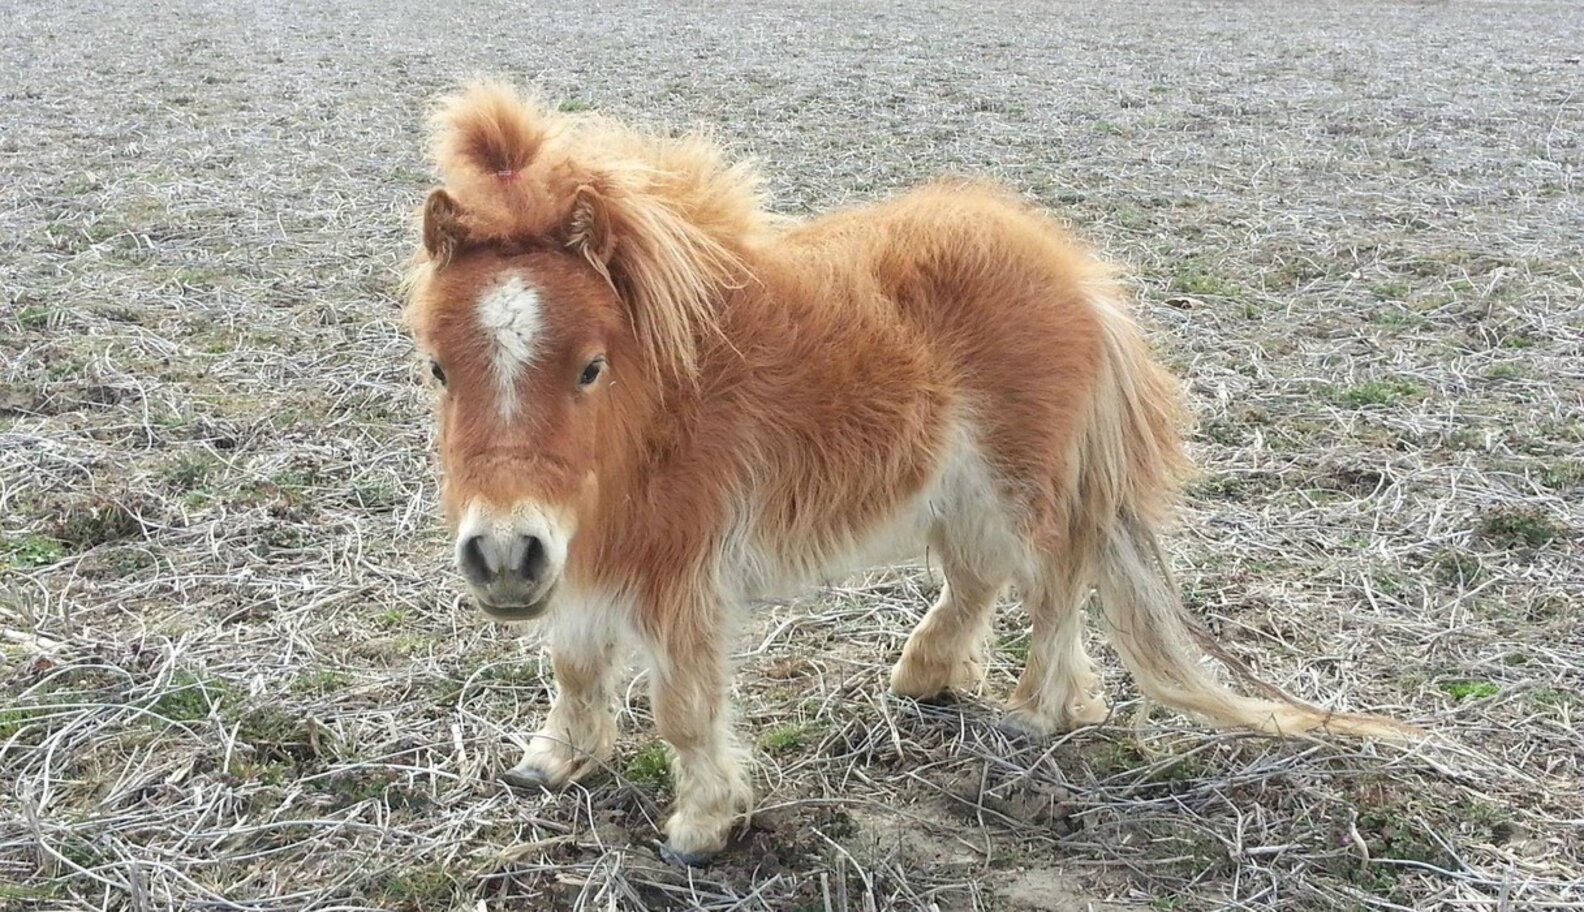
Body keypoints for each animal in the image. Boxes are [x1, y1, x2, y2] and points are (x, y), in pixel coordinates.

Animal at [400, 81, 1413, 865]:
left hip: (1021, 484)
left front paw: (703, 828)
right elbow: (574, 667)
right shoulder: (589, 559)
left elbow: (682, 706)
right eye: (440, 368)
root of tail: (1075, 271)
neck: (663, 404)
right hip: (959, 487)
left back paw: (1037, 714)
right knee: (978, 578)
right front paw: (553, 762)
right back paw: (925, 677)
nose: (503, 556)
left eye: (590, 367)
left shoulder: (680, 572)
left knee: (1056, 586)